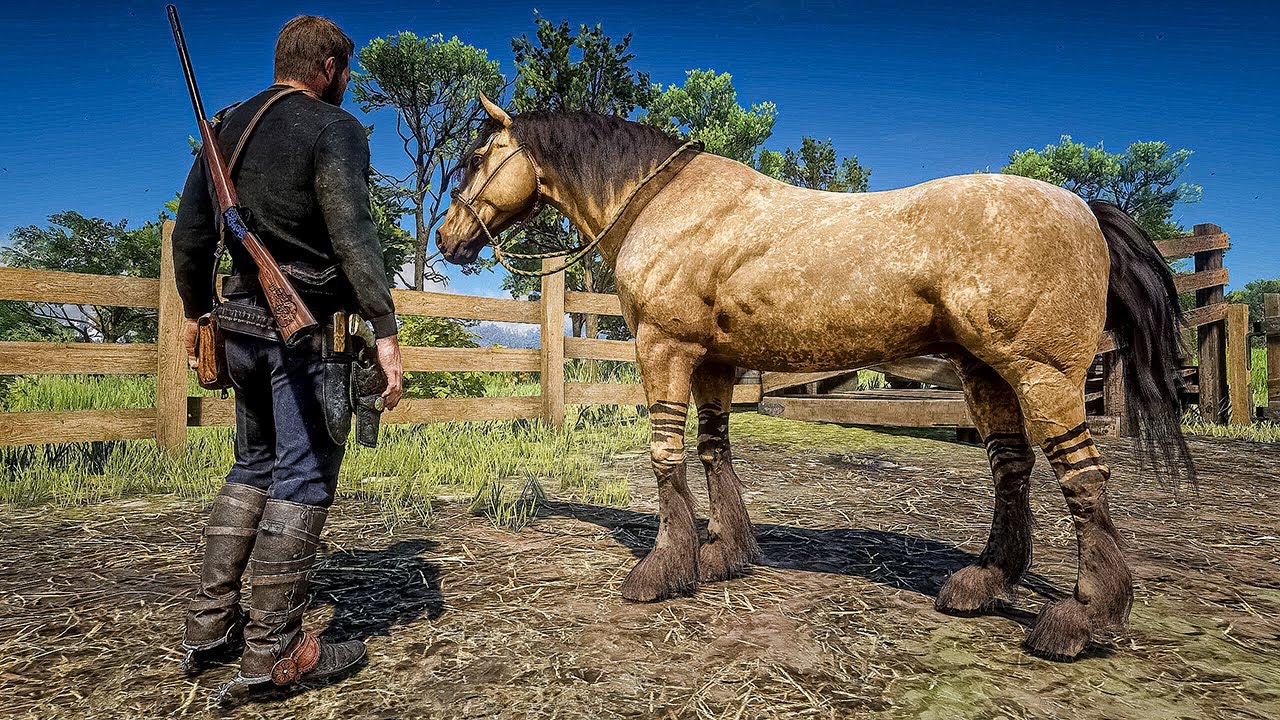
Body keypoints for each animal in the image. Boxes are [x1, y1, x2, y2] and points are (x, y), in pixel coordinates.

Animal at [436, 94, 1193, 660]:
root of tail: (1083, 207)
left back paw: (1083, 618)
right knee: (1013, 469)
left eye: (473, 159)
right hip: (986, 373)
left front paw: (663, 569)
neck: (664, 205)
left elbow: (665, 457)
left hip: (1042, 376)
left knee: (1083, 480)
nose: (447, 239)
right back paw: (985, 583)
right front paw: (724, 553)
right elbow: (713, 451)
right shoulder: (714, 361)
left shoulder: (665, 350)